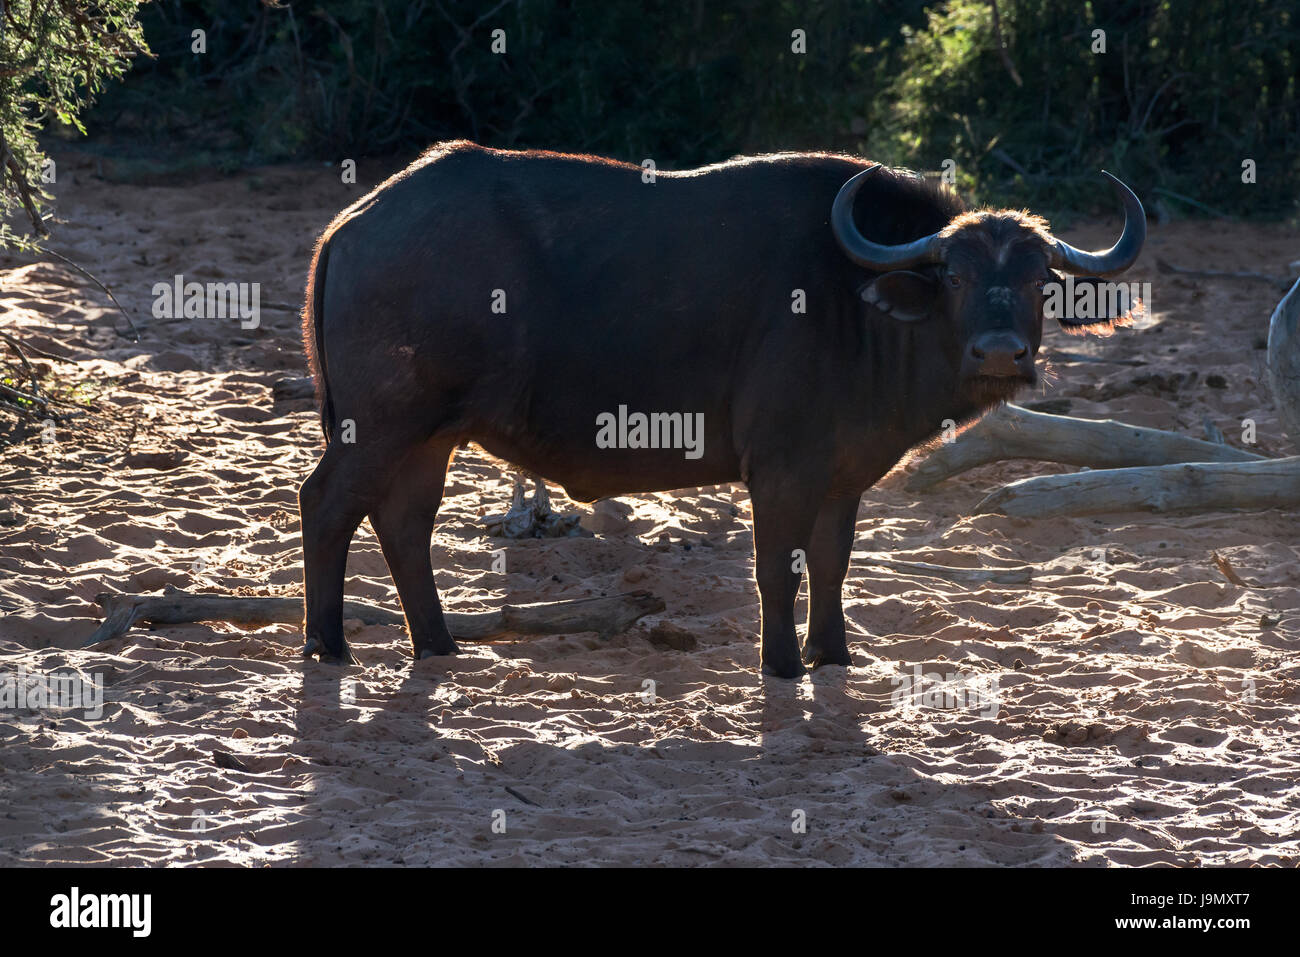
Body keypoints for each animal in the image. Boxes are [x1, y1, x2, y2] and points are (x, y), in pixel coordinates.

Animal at [299, 141, 1145, 678]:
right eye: (957, 275)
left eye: (1039, 278)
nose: (1001, 352)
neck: (854, 301)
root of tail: (352, 223)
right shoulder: (779, 469)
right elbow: (777, 569)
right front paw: (781, 665)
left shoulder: (844, 477)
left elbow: (831, 564)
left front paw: (833, 654)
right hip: (380, 426)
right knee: (327, 504)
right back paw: (329, 645)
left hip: (429, 436)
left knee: (404, 522)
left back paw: (438, 644)